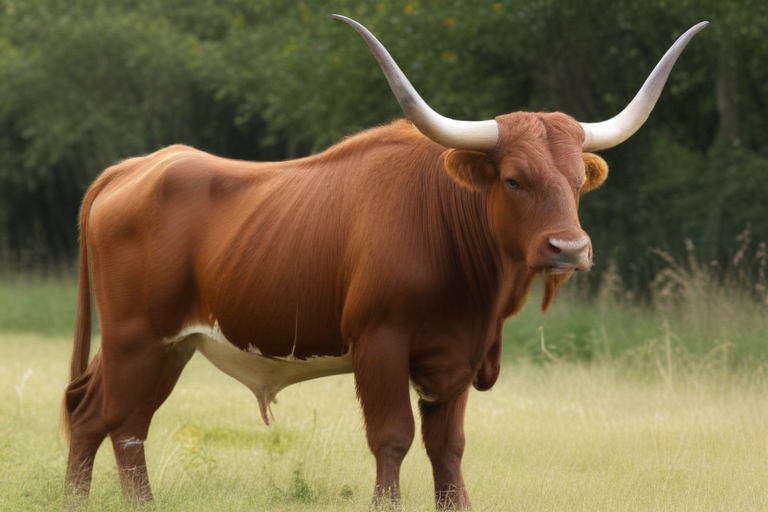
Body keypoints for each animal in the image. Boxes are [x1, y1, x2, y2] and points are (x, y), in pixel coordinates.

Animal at [63, 15, 707, 510]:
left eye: (578, 181)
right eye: (513, 178)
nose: (570, 249)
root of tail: (133, 168)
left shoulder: (456, 359)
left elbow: (448, 448)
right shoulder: (380, 344)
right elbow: (393, 438)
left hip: (169, 344)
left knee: (97, 413)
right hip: (135, 336)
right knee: (121, 420)